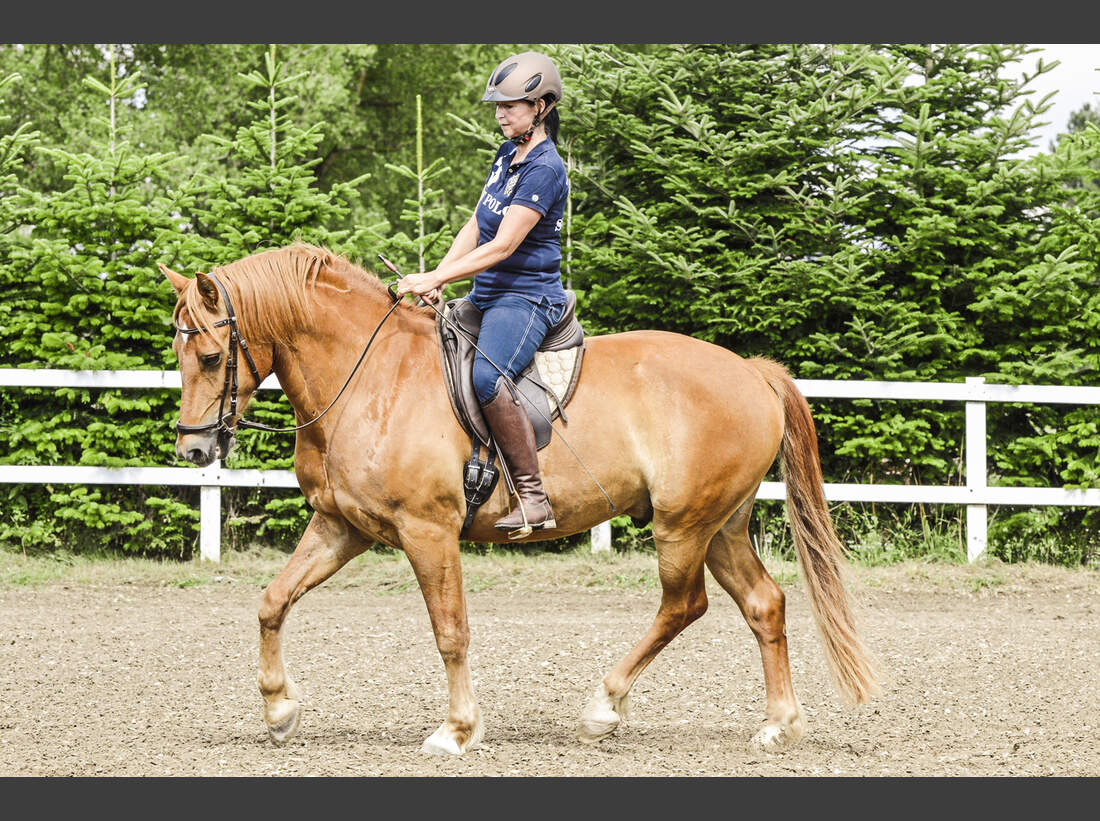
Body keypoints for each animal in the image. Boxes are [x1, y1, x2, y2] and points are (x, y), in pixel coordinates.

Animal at [159, 242, 881, 756]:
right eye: (178, 352)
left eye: (213, 356)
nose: (194, 450)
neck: (368, 376)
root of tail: (750, 371)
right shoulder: (341, 525)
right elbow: (272, 601)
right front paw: (280, 711)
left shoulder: (427, 530)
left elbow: (450, 629)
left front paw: (456, 731)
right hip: (722, 524)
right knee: (763, 603)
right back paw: (779, 724)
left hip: (684, 524)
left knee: (684, 605)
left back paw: (603, 707)